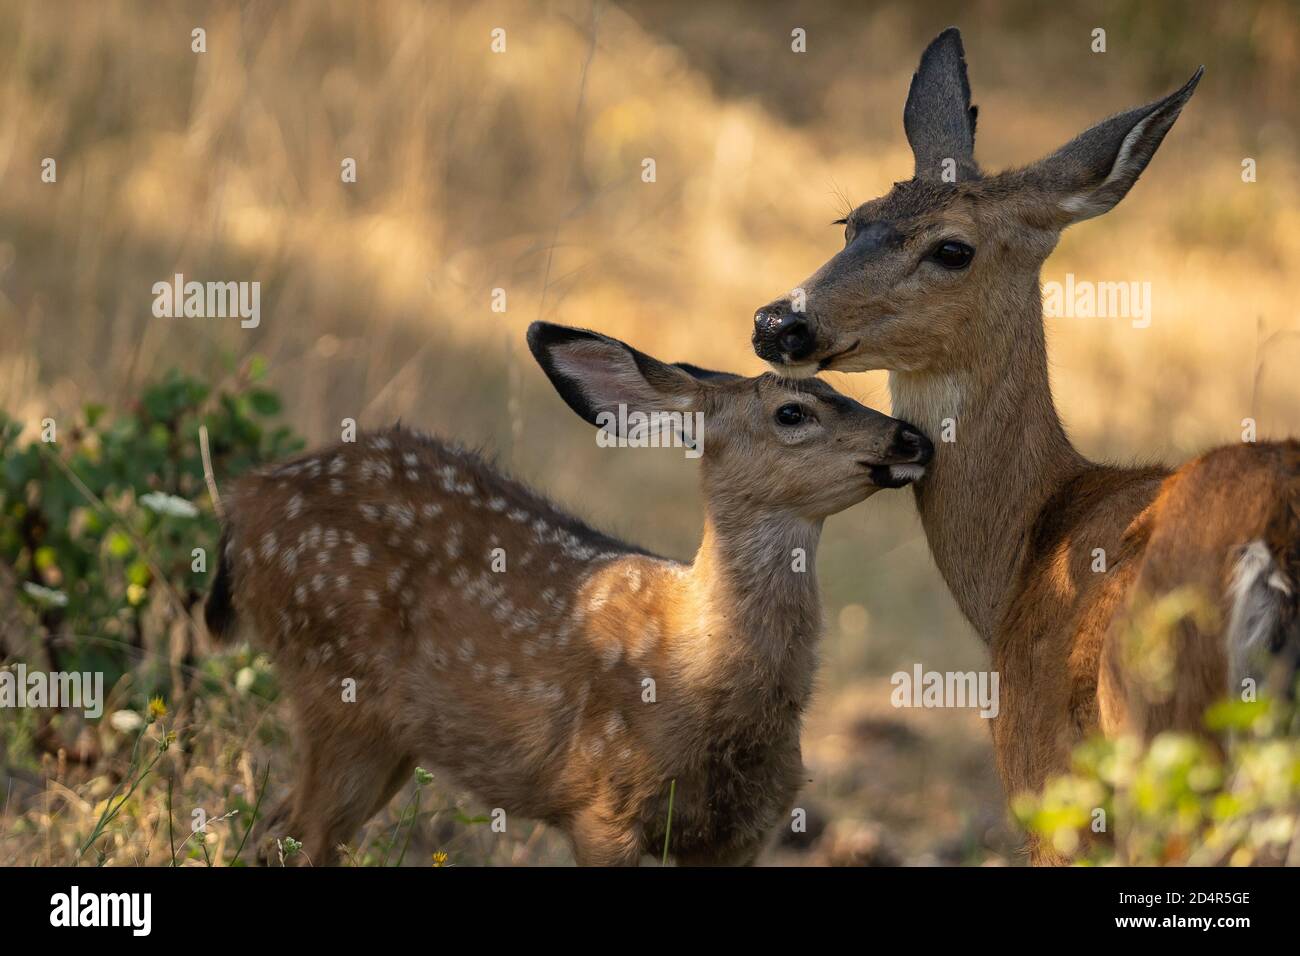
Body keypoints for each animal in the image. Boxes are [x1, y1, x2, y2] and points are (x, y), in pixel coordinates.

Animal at [203, 322, 932, 866]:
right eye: (792, 412)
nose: (913, 437)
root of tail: (244, 502)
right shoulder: (601, 802)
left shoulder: (745, 830)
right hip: (334, 685)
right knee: (294, 837)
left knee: (274, 829)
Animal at [751, 27, 1300, 863]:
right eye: (851, 222)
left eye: (953, 249)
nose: (779, 322)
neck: (1023, 551)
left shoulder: (1049, 785)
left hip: (1166, 753)